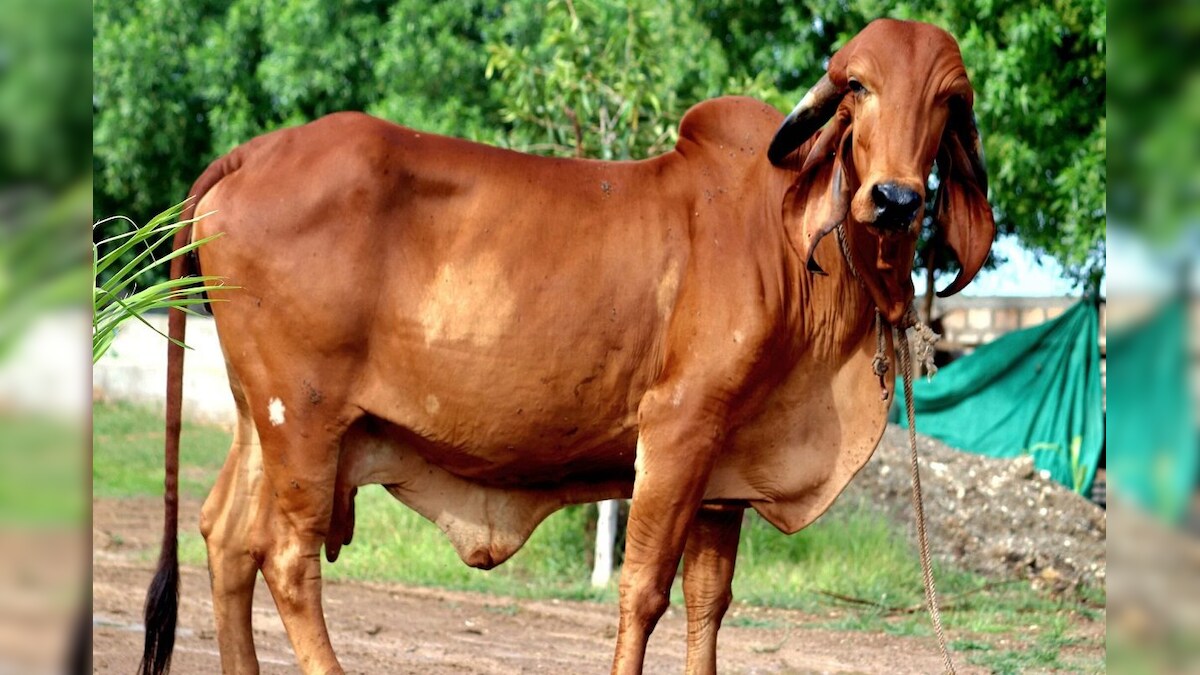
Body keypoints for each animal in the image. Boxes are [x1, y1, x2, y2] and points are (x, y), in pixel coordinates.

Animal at [140, 18, 993, 675]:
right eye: (858, 89)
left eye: (949, 100)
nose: (895, 199)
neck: (793, 245)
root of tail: (253, 154)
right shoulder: (680, 427)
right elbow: (642, 589)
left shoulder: (726, 476)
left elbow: (708, 602)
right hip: (305, 418)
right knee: (286, 557)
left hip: (261, 417)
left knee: (227, 536)